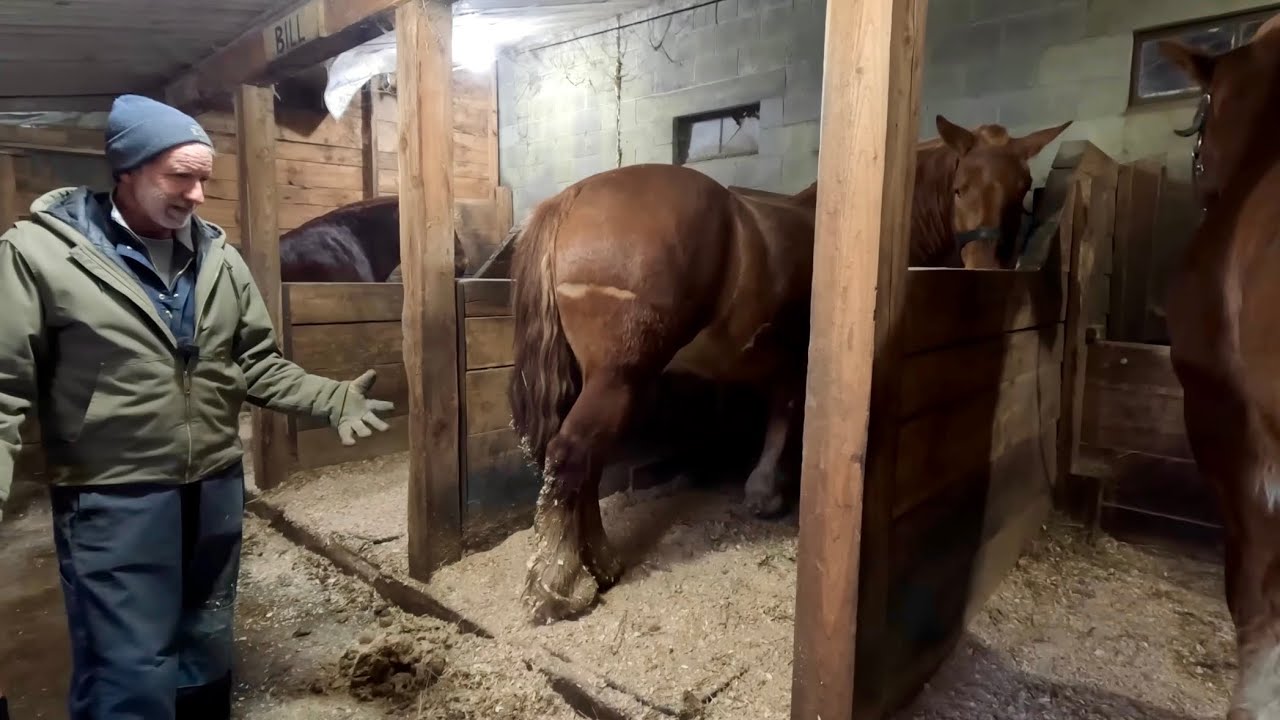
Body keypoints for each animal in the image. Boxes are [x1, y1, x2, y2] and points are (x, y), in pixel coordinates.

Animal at [507, 115, 1074, 624]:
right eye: (960, 186)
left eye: (1023, 188)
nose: (987, 267)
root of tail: (574, 195)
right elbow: (786, 416)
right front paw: (770, 492)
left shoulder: (779, 359)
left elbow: (779, 412)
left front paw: (761, 490)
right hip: (619, 376)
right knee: (572, 455)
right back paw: (556, 590)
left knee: (585, 465)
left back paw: (601, 565)